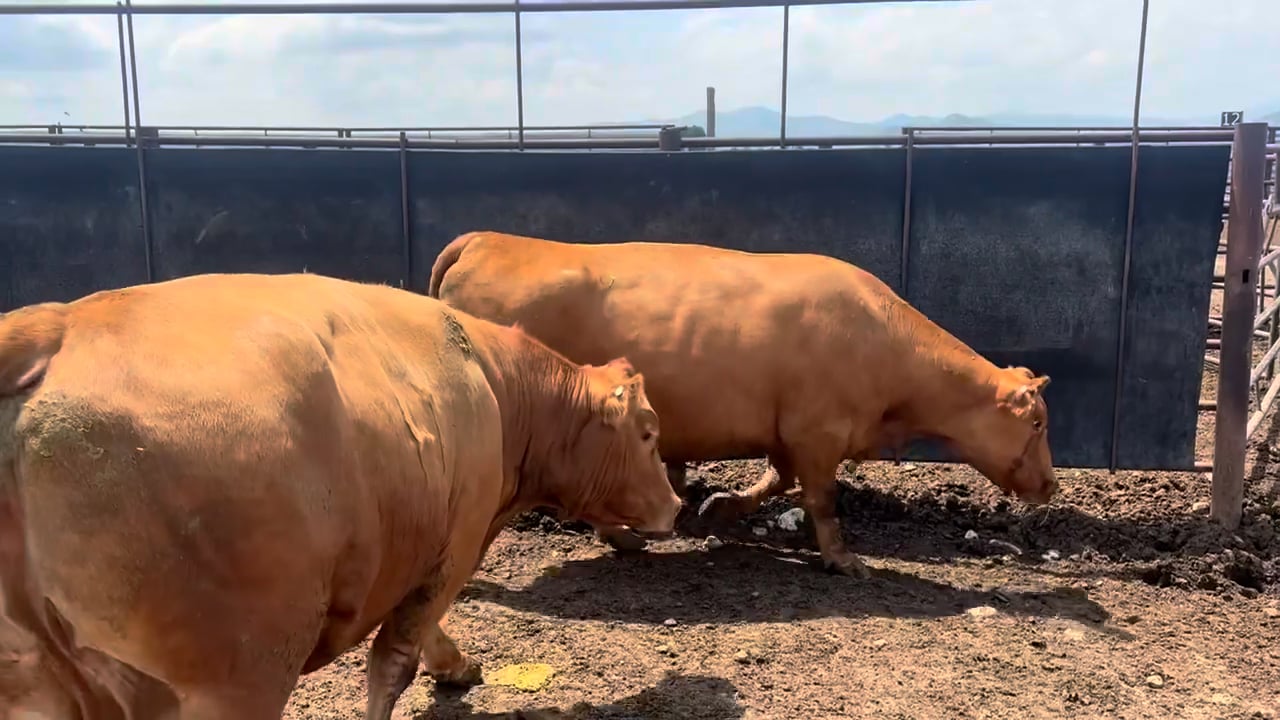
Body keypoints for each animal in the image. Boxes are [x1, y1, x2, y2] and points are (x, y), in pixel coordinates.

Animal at [0, 271, 682, 720]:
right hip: (234, 681)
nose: (675, 507)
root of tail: (56, 330)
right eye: (648, 431)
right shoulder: (456, 541)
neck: (494, 379)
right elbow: (394, 659)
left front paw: (455, 665)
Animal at [428, 230, 1058, 578]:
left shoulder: (788, 431)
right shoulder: (816, 430)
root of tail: (488, 239)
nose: (1052, 485)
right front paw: (842, 559)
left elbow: (777, 480)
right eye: (1037, 422)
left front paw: (721, 507)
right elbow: (822, 499)